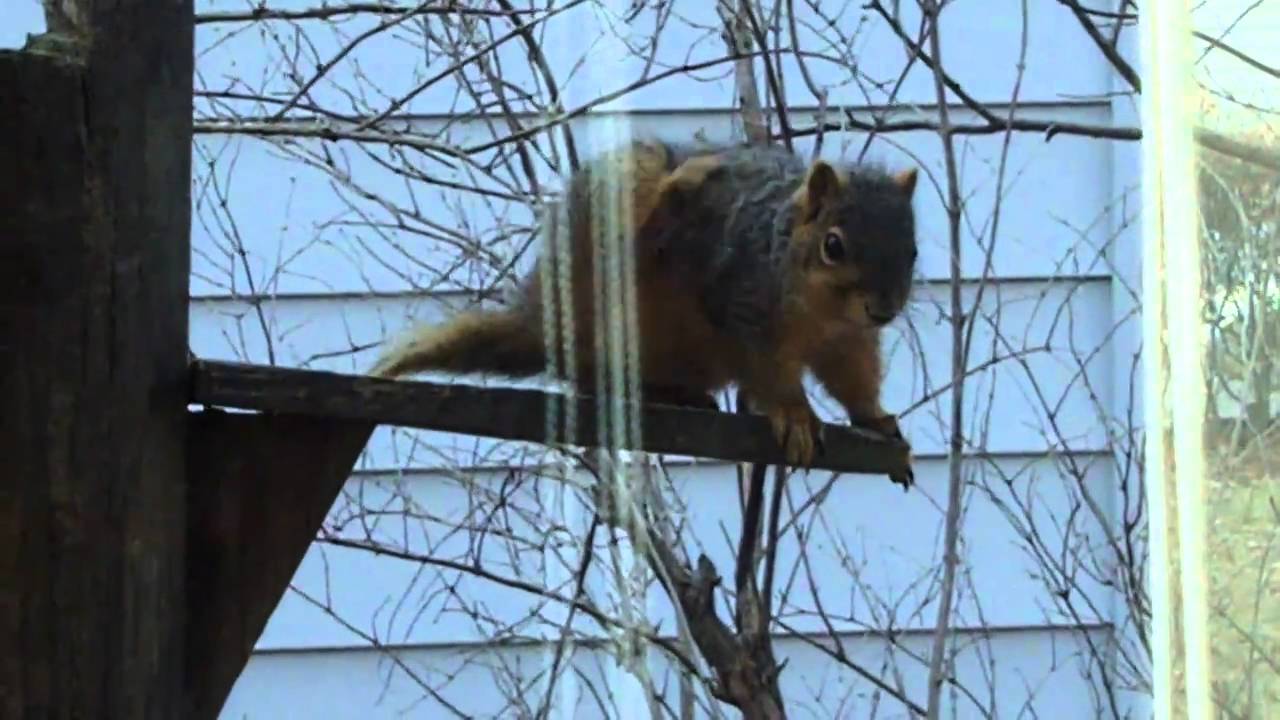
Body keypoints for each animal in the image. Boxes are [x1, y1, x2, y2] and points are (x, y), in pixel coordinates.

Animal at [370, 138, 919, 486]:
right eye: (833, 246)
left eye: (912, 250)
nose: (883, 308)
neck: (822, 312)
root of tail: (543, 314)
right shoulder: (743, 308)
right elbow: (770, 374)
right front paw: (796, 415)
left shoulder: (848, 342)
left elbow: (855, 379)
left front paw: (878, 419)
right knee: (589, 373)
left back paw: (679, 393)